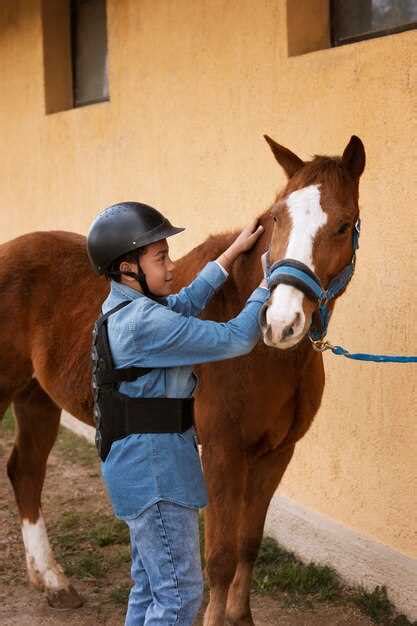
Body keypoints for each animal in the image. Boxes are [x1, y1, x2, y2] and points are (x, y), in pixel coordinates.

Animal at [0, 134, 364, 620]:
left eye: (343, 226)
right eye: (276, 218)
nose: (281, 322)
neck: (267, 358)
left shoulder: (276, 453)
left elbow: (248, 544)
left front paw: (241, 617)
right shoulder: (224, 453)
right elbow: (221, 557)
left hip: (36, 398)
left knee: (27, 471)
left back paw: (52, 581)